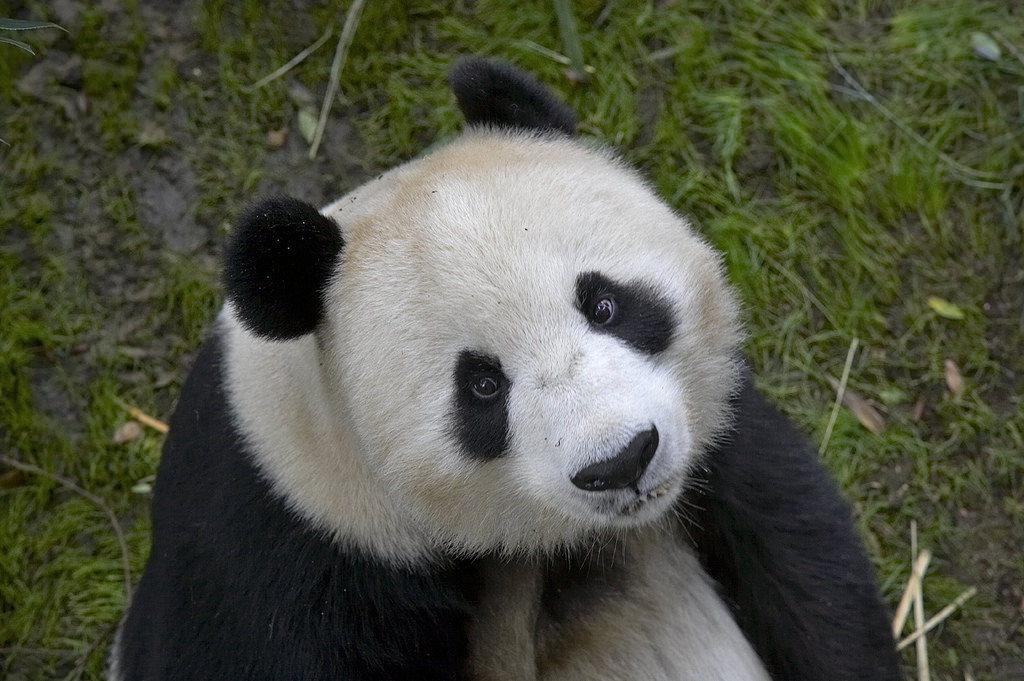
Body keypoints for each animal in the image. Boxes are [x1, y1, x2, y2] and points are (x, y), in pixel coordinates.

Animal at [110, 59, 900, 681]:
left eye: (605, 304)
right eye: (483, 385)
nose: (621, 461)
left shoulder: (707, 432)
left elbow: (800, 552)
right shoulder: (278, 554)